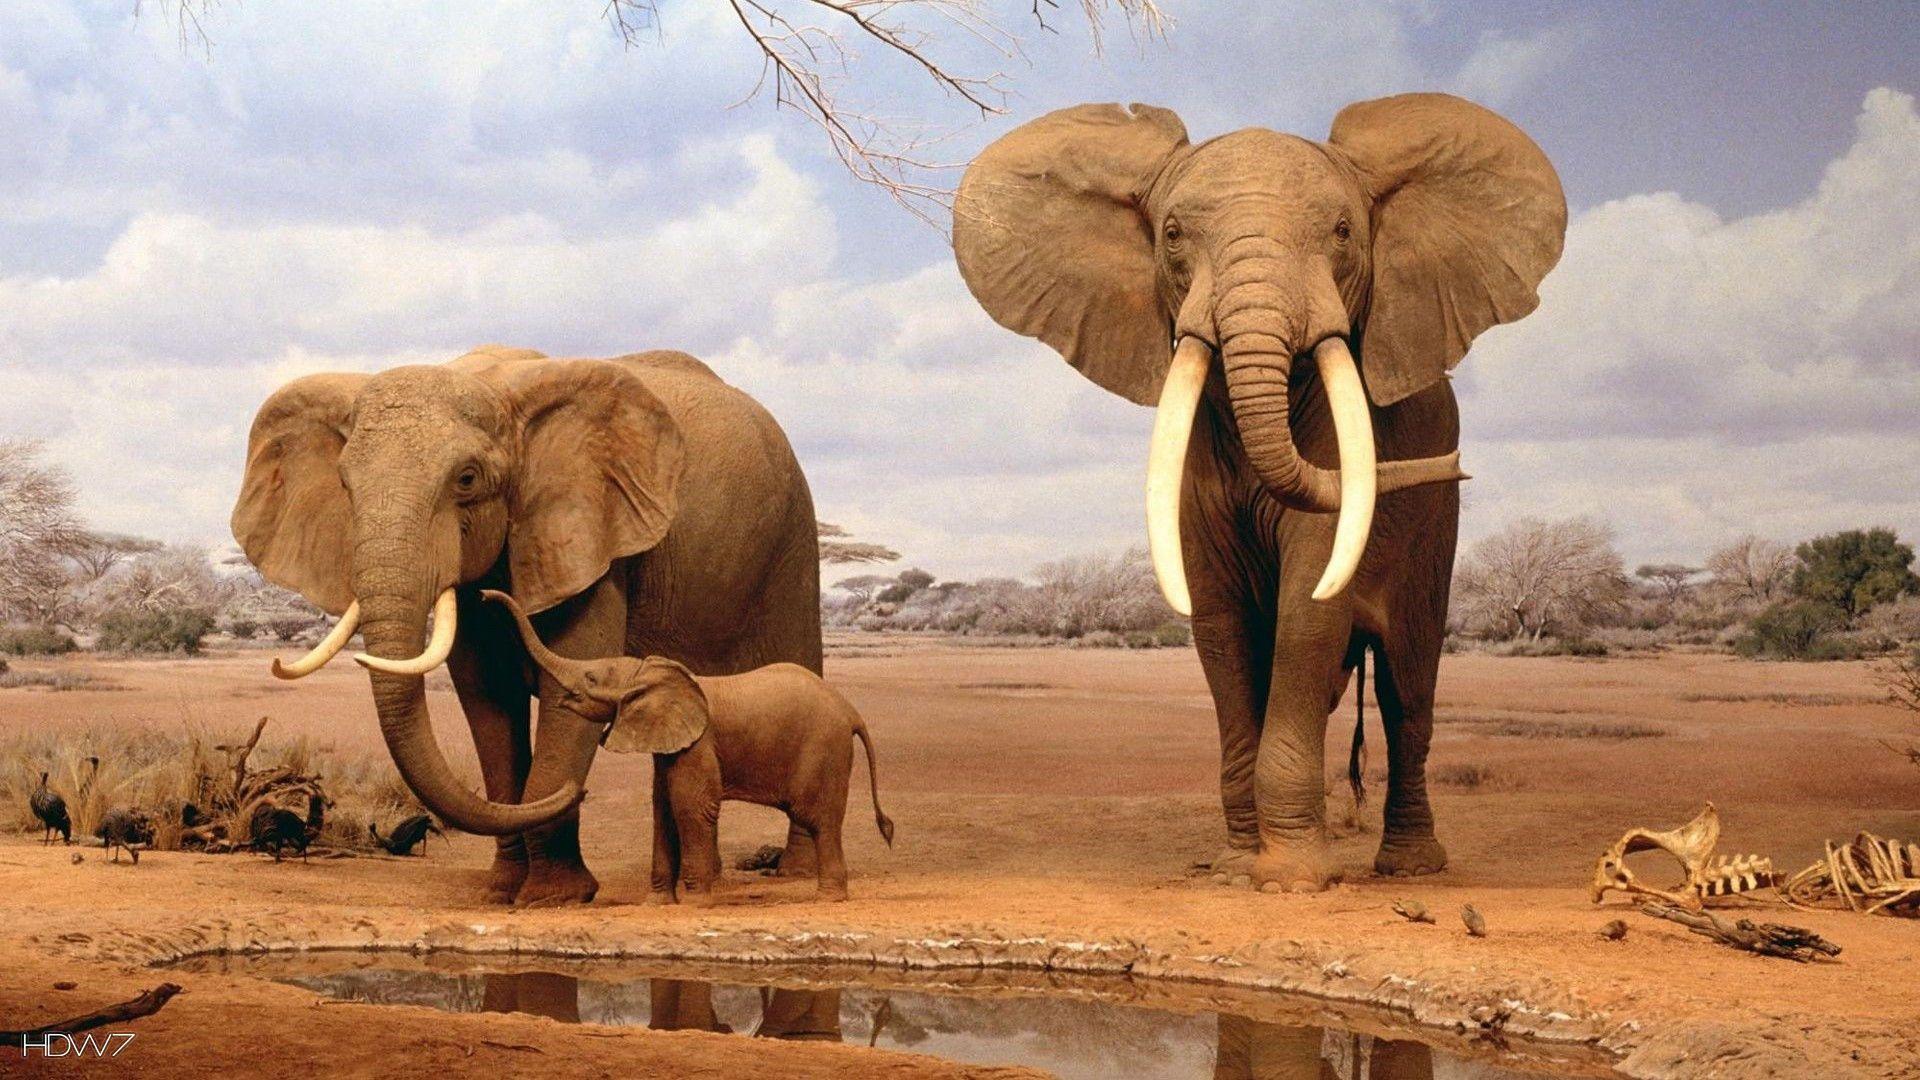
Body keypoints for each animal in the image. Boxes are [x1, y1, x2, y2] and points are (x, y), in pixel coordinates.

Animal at [232, 346, 822, 905]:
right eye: (344, 485)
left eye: (467, 480)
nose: (578, 792)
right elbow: (487, 701)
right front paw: (501, 892)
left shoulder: (589, 538)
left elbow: (567, 687)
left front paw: (552, 898)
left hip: (793, 538)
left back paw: (797, 873)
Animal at [486, 589, 894, 903]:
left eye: (590, 677)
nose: (485, 595)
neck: (649, 673)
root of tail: (851, 712)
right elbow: (663, 808)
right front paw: (657, 903)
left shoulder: (699, 744)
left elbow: (691, 807)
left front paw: (696, 902)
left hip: (824, 749)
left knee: (819, 819)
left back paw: (828, 898)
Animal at [953, 94, 1565, 891]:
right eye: (1173, 235)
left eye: (1342, 232)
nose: (1455, 465)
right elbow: (1220, 623)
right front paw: (1235, 867)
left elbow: (1309, 610)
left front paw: (1291, 879)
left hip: (1437, 529)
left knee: (1408, 688)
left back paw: (1410, 869)